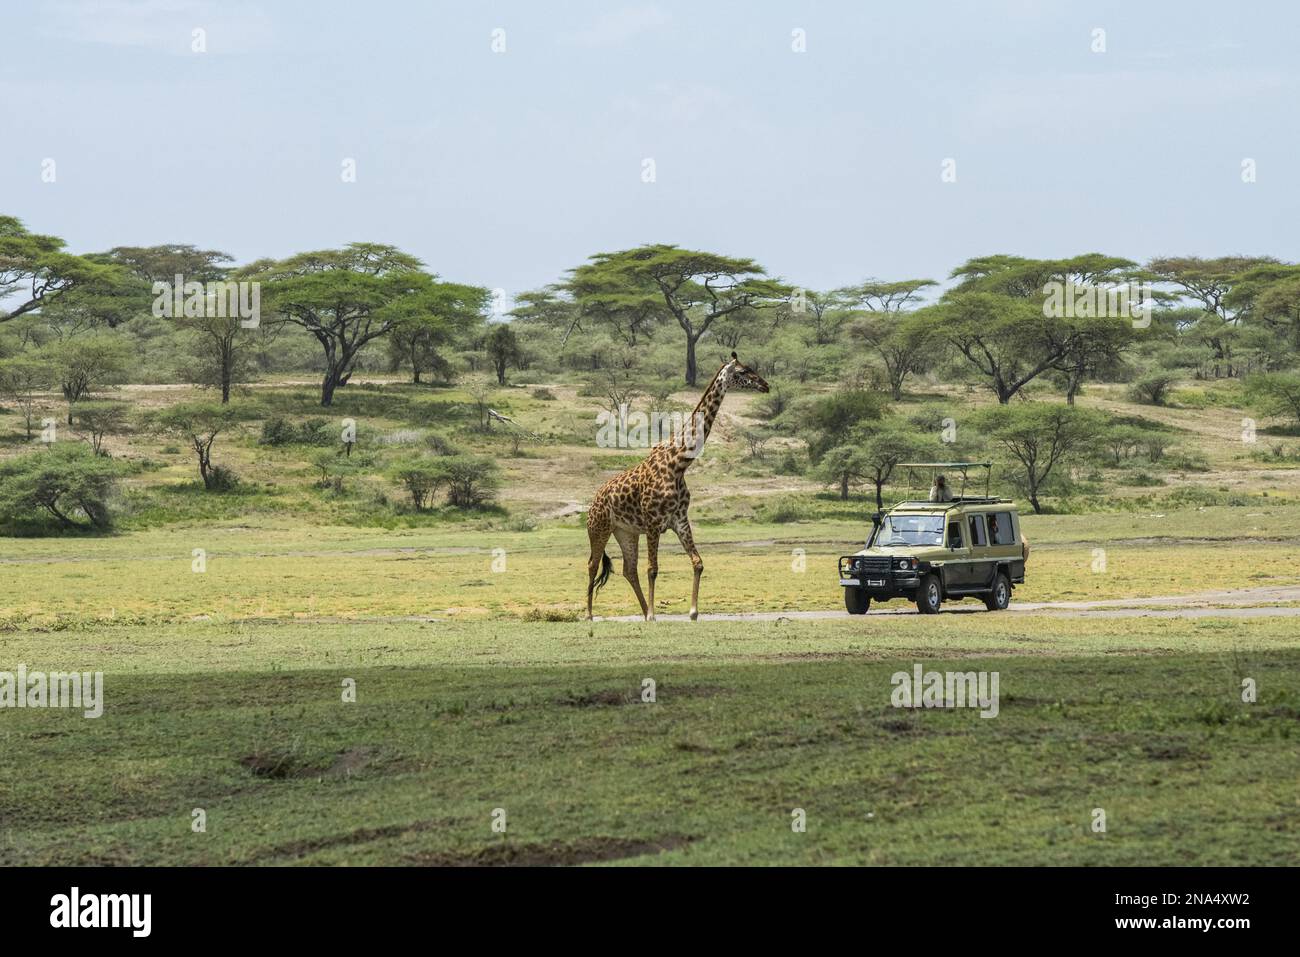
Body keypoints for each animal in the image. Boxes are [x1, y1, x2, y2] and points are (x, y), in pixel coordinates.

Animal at [585, 352, 770, 621]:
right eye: (743, 371)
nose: (765, 385)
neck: (679, 462)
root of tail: (593, 502)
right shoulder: (653, 523)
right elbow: (653, 568)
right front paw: (654, 615)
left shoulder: (680, 520)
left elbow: (698, 562)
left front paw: (692, 612)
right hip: (599, 529)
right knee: (593, 564)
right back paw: (590, 614)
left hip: (626, 532)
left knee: (629, 569)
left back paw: (643, 611)